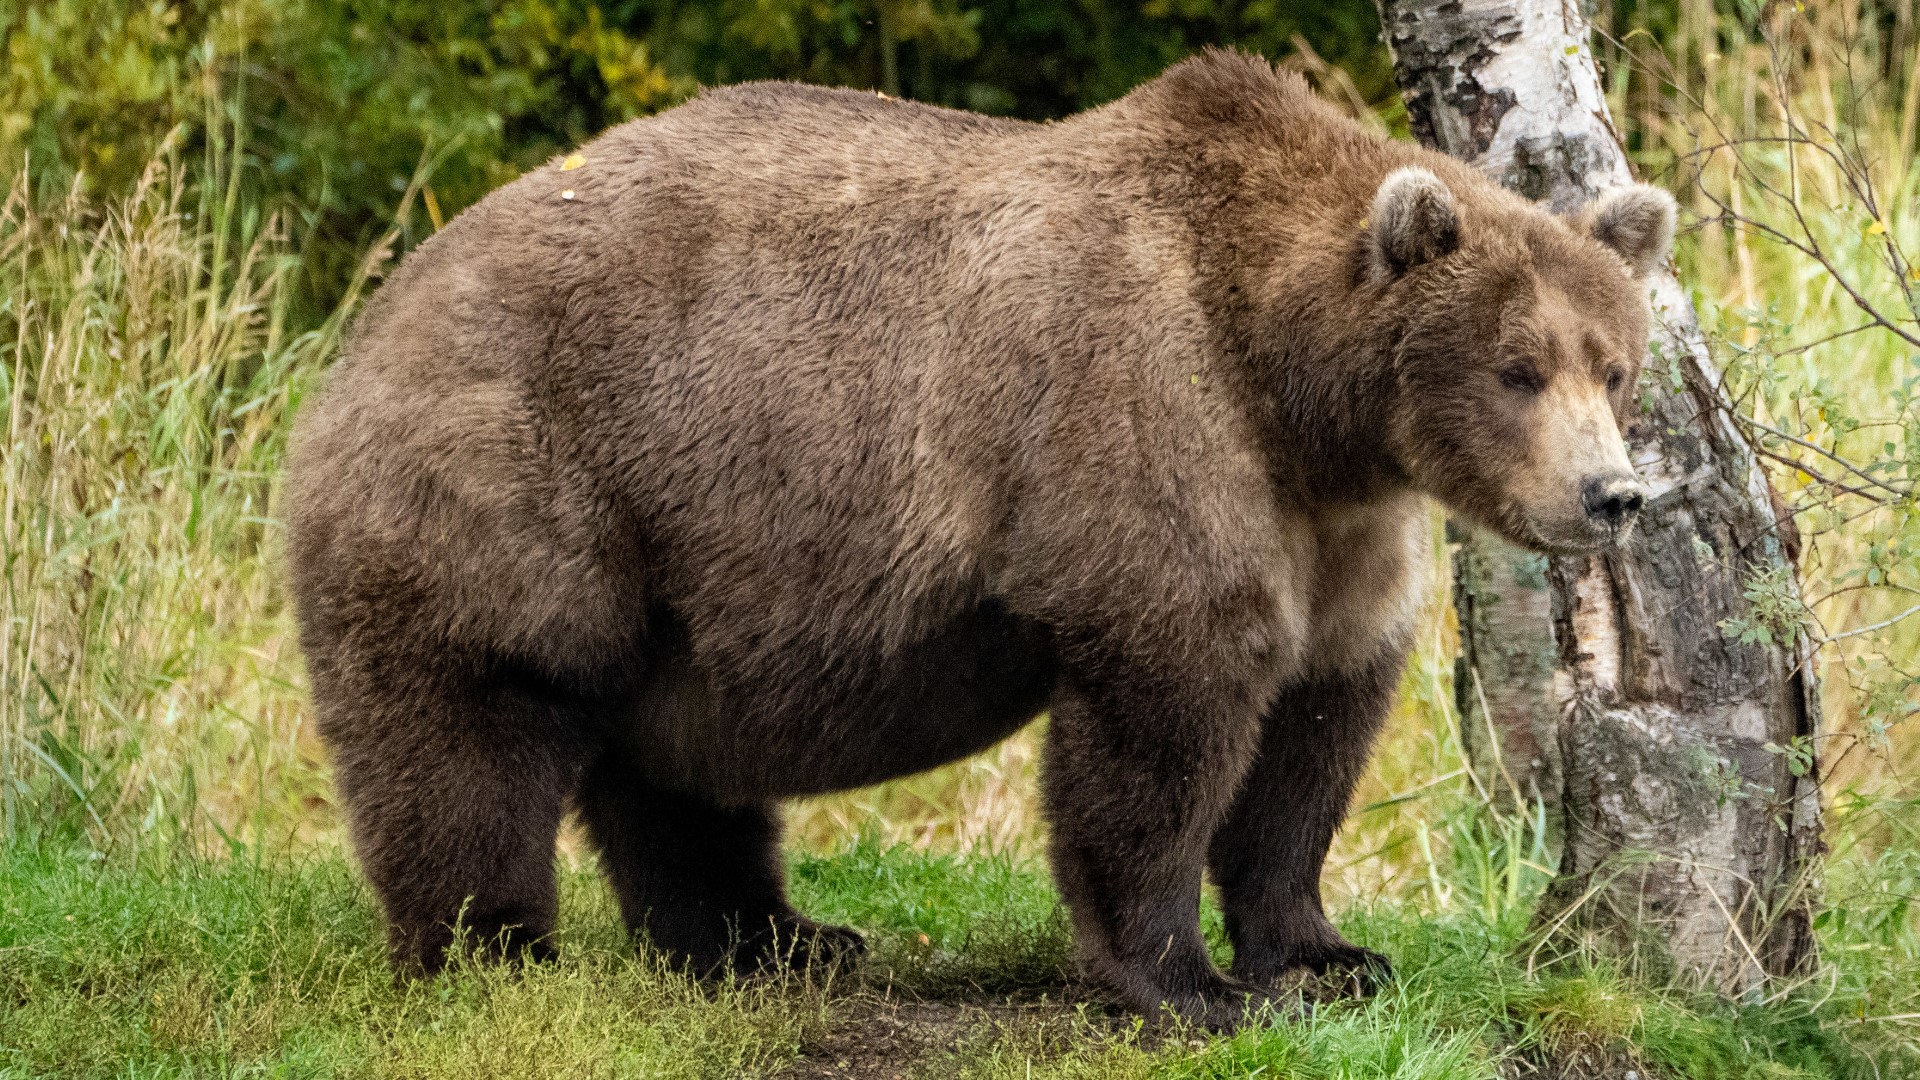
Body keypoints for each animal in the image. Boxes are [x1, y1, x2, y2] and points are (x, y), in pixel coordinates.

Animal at [286, 48, 1674, 1028]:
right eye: (1516, 368)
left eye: (1614, 364)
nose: (1613, 495)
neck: (1299, 396)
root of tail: (371, 319)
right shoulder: (1141, 416)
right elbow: (1168, 714)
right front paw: (1190, 982)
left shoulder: (1344, 529)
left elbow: (1316, 728)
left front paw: (1328, 955)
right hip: (522, 475)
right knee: (473, 720)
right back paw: (496, 951)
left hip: (684, 562)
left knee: (674, 760)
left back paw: (777, 940)